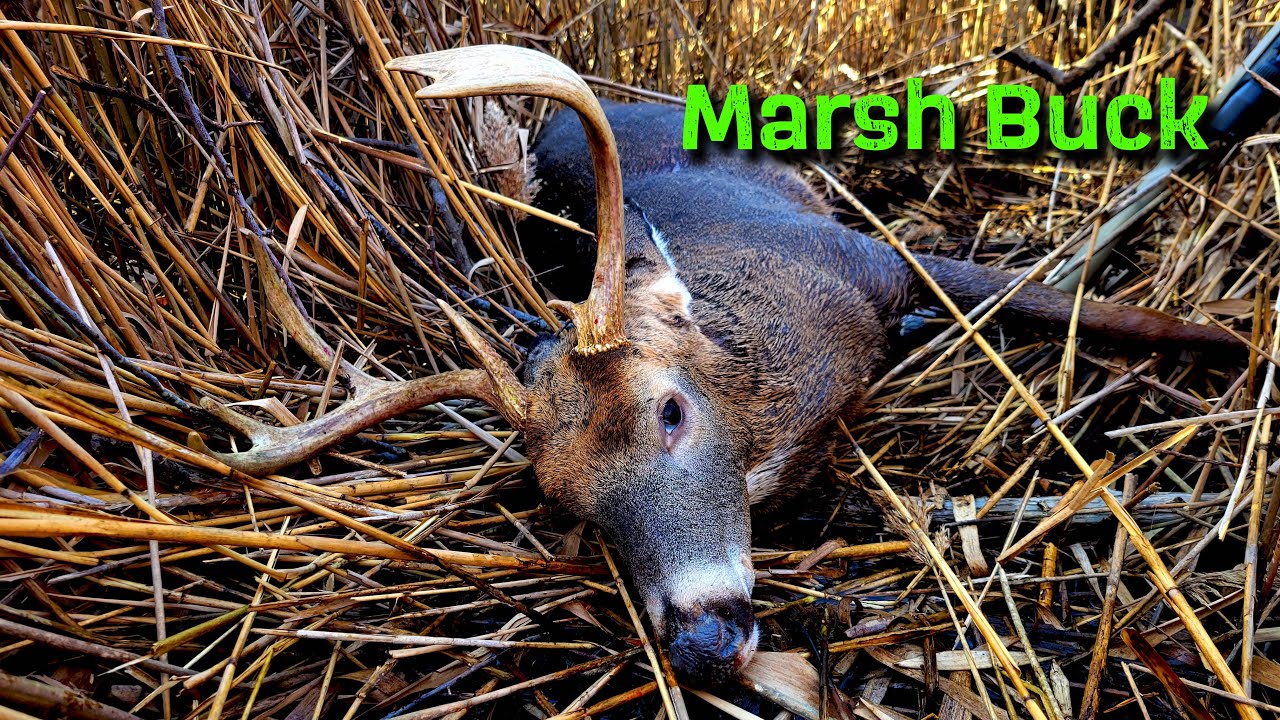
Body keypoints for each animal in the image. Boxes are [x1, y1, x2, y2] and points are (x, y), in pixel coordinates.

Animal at [189, 45, 1243, 687]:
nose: (699, 640)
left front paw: (1231, 343)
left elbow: (1074, 303)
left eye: (671, 411)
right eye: (564, 501)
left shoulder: (878, 258)